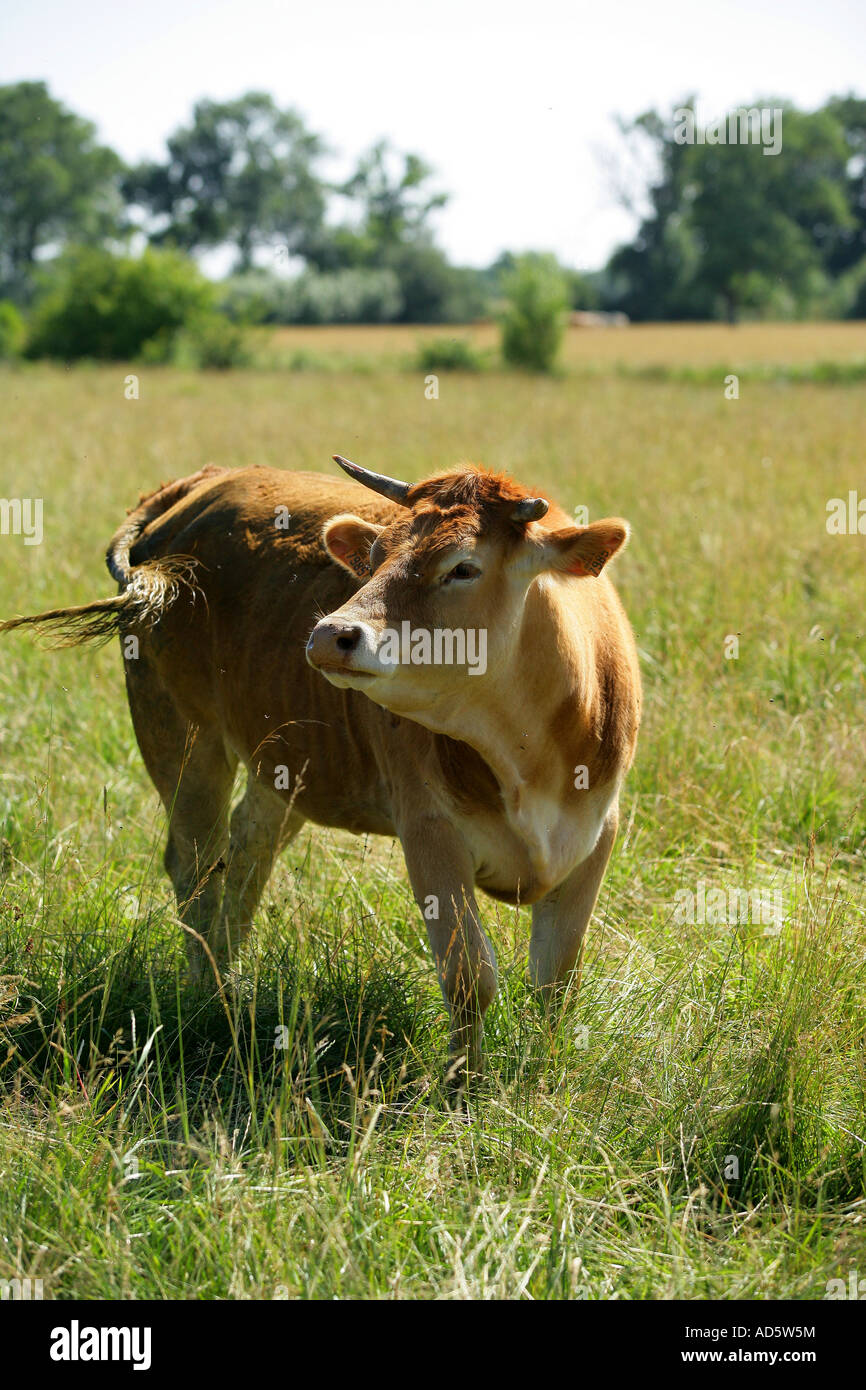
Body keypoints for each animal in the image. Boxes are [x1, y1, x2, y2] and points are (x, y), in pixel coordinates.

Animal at [0, 457, 641, 1082]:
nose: (332, 634)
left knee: (247, 853)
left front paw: (545, 1073)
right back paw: (209, 993)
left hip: (282, 763)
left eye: (464, 567)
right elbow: (469, 976)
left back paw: (230, 984)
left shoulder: (597, 831)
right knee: (196, 863)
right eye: (376, 556)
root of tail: (203, 480)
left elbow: (556, 979)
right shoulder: (429, 829)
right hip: (178, 729)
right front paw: (464, 1087)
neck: (526, 752)